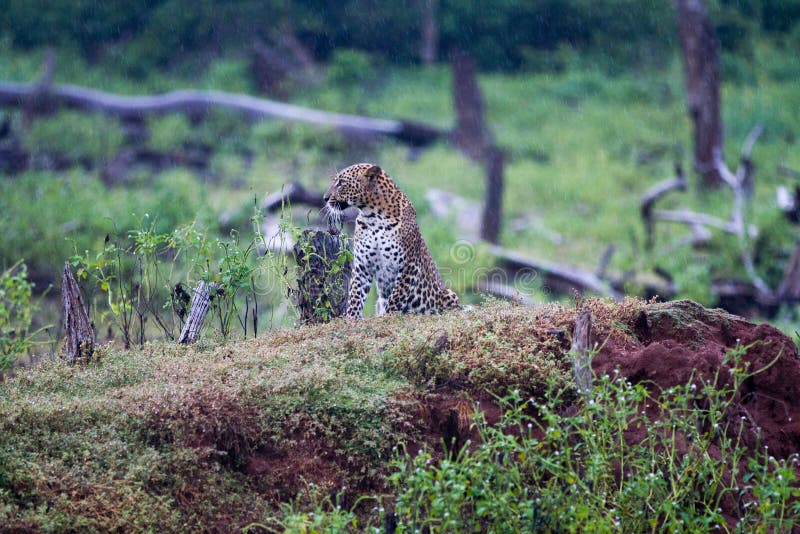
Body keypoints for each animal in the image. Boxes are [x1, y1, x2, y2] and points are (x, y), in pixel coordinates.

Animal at [323, 163, 461, 318]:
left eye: (341, 183)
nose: (325, 198)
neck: (372, 216)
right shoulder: (362, 266)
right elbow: (355, 294)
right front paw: (351, 317)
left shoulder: (409, 265)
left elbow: (397, 296)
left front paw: (388, 316)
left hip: (450, 294)